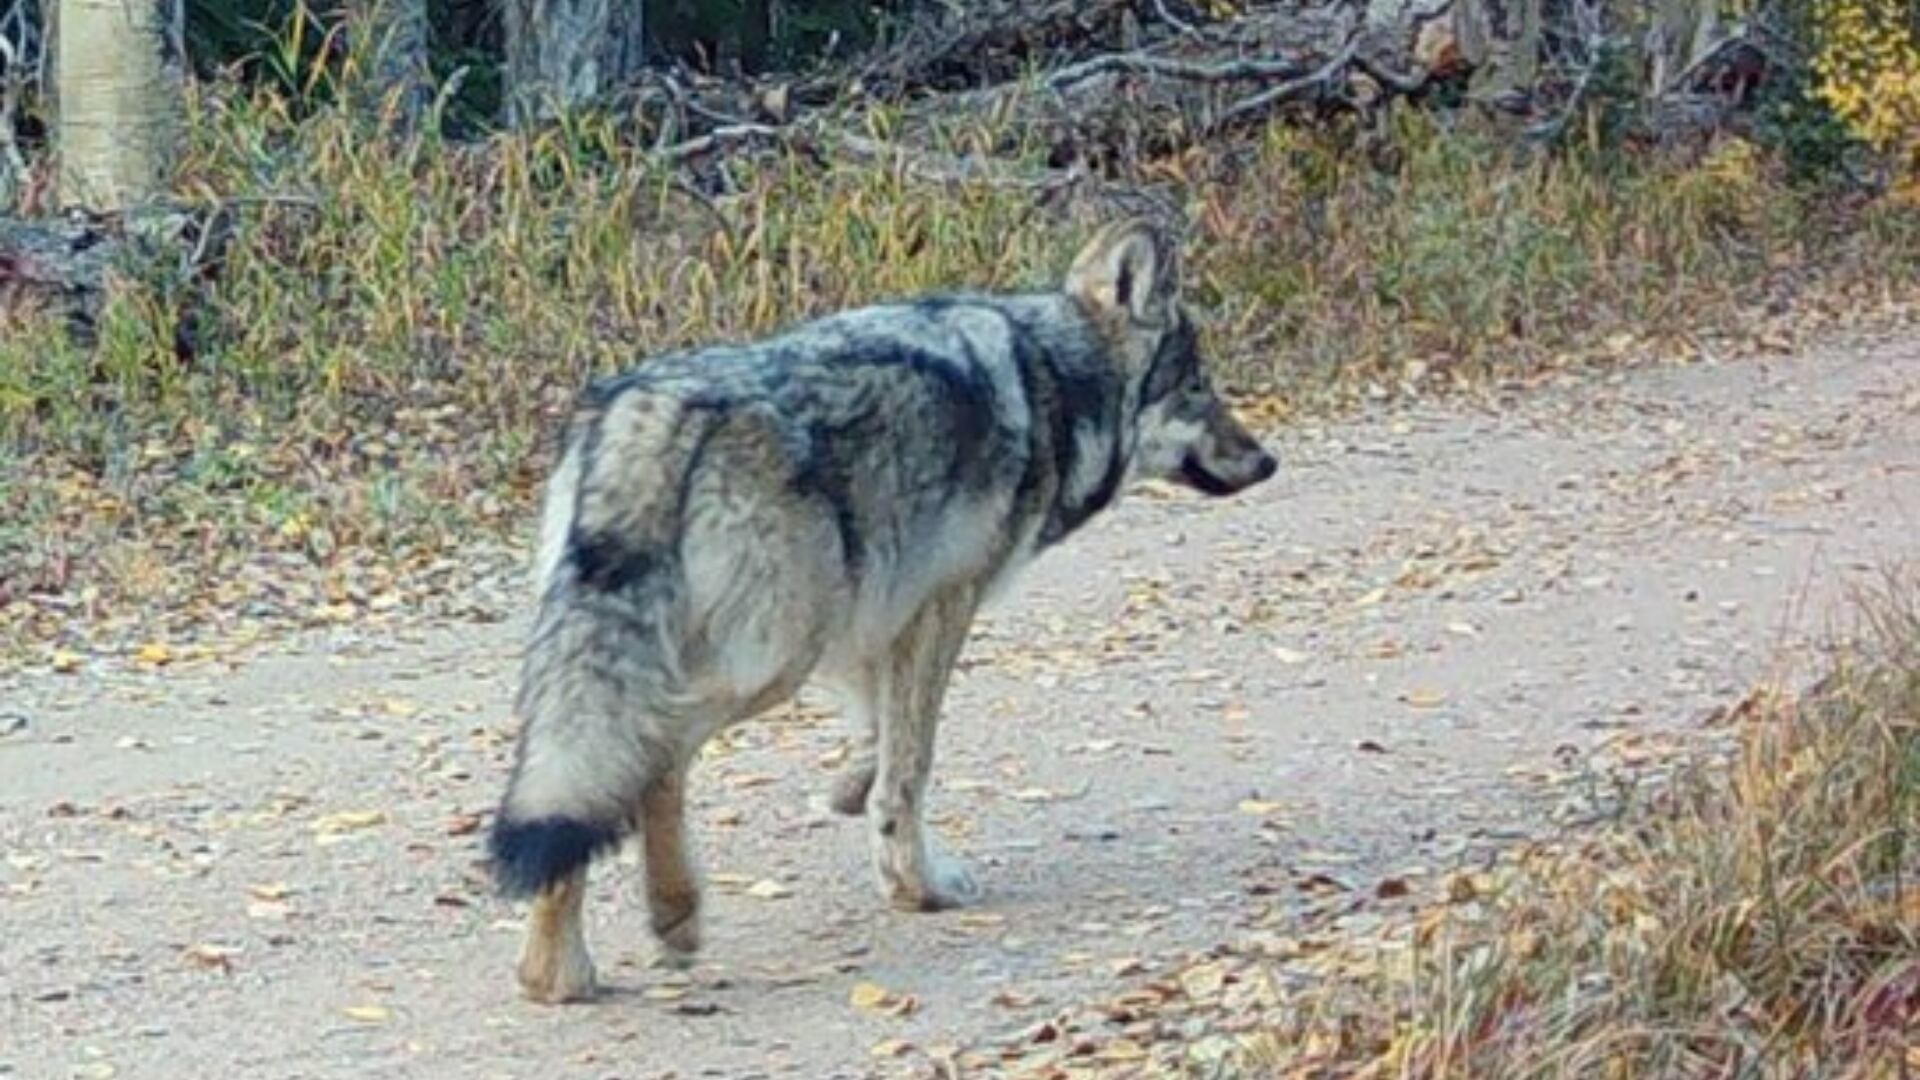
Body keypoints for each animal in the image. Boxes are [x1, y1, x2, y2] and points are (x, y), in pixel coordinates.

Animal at [488, 219, 1276, 1003]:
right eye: (1198, 389)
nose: (1268, 461)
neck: (1052, 380)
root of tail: (647, 409)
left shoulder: (875, 622)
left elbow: (880, 737)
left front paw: (848, 793)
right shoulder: (940, 603)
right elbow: (911, 762)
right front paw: (919, 886)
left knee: (586, 788)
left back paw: (555, 970)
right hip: (773, 661)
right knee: (650, 760)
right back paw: (667, 917)